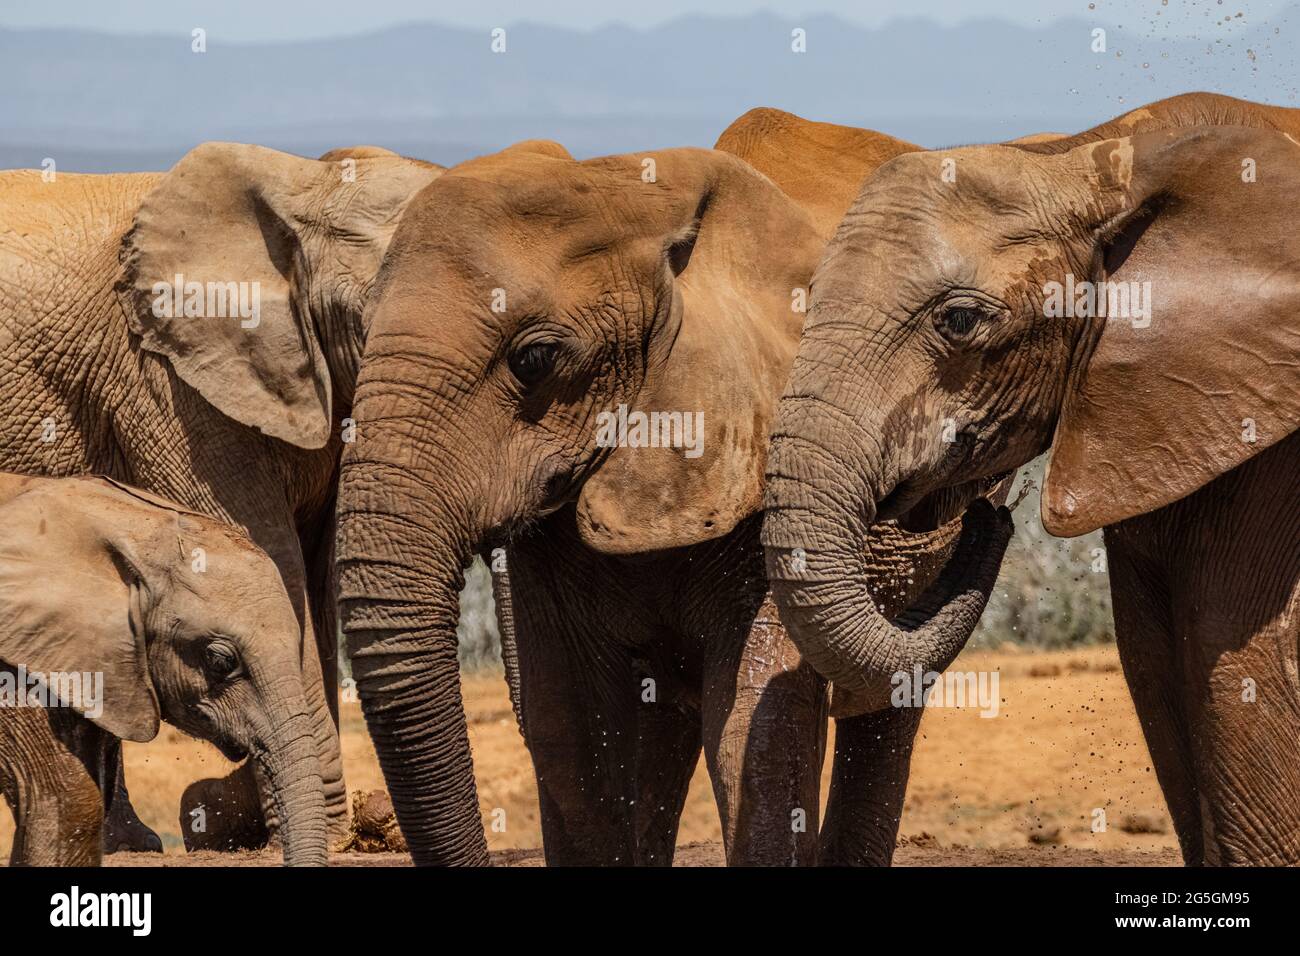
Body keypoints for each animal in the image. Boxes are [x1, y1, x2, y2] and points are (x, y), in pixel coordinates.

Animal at [333, 125, 1005, 865]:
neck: (634, 195)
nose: (992, 515)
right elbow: (572, 724)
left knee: (883, 703)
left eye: (534, 359)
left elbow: (754, 722)